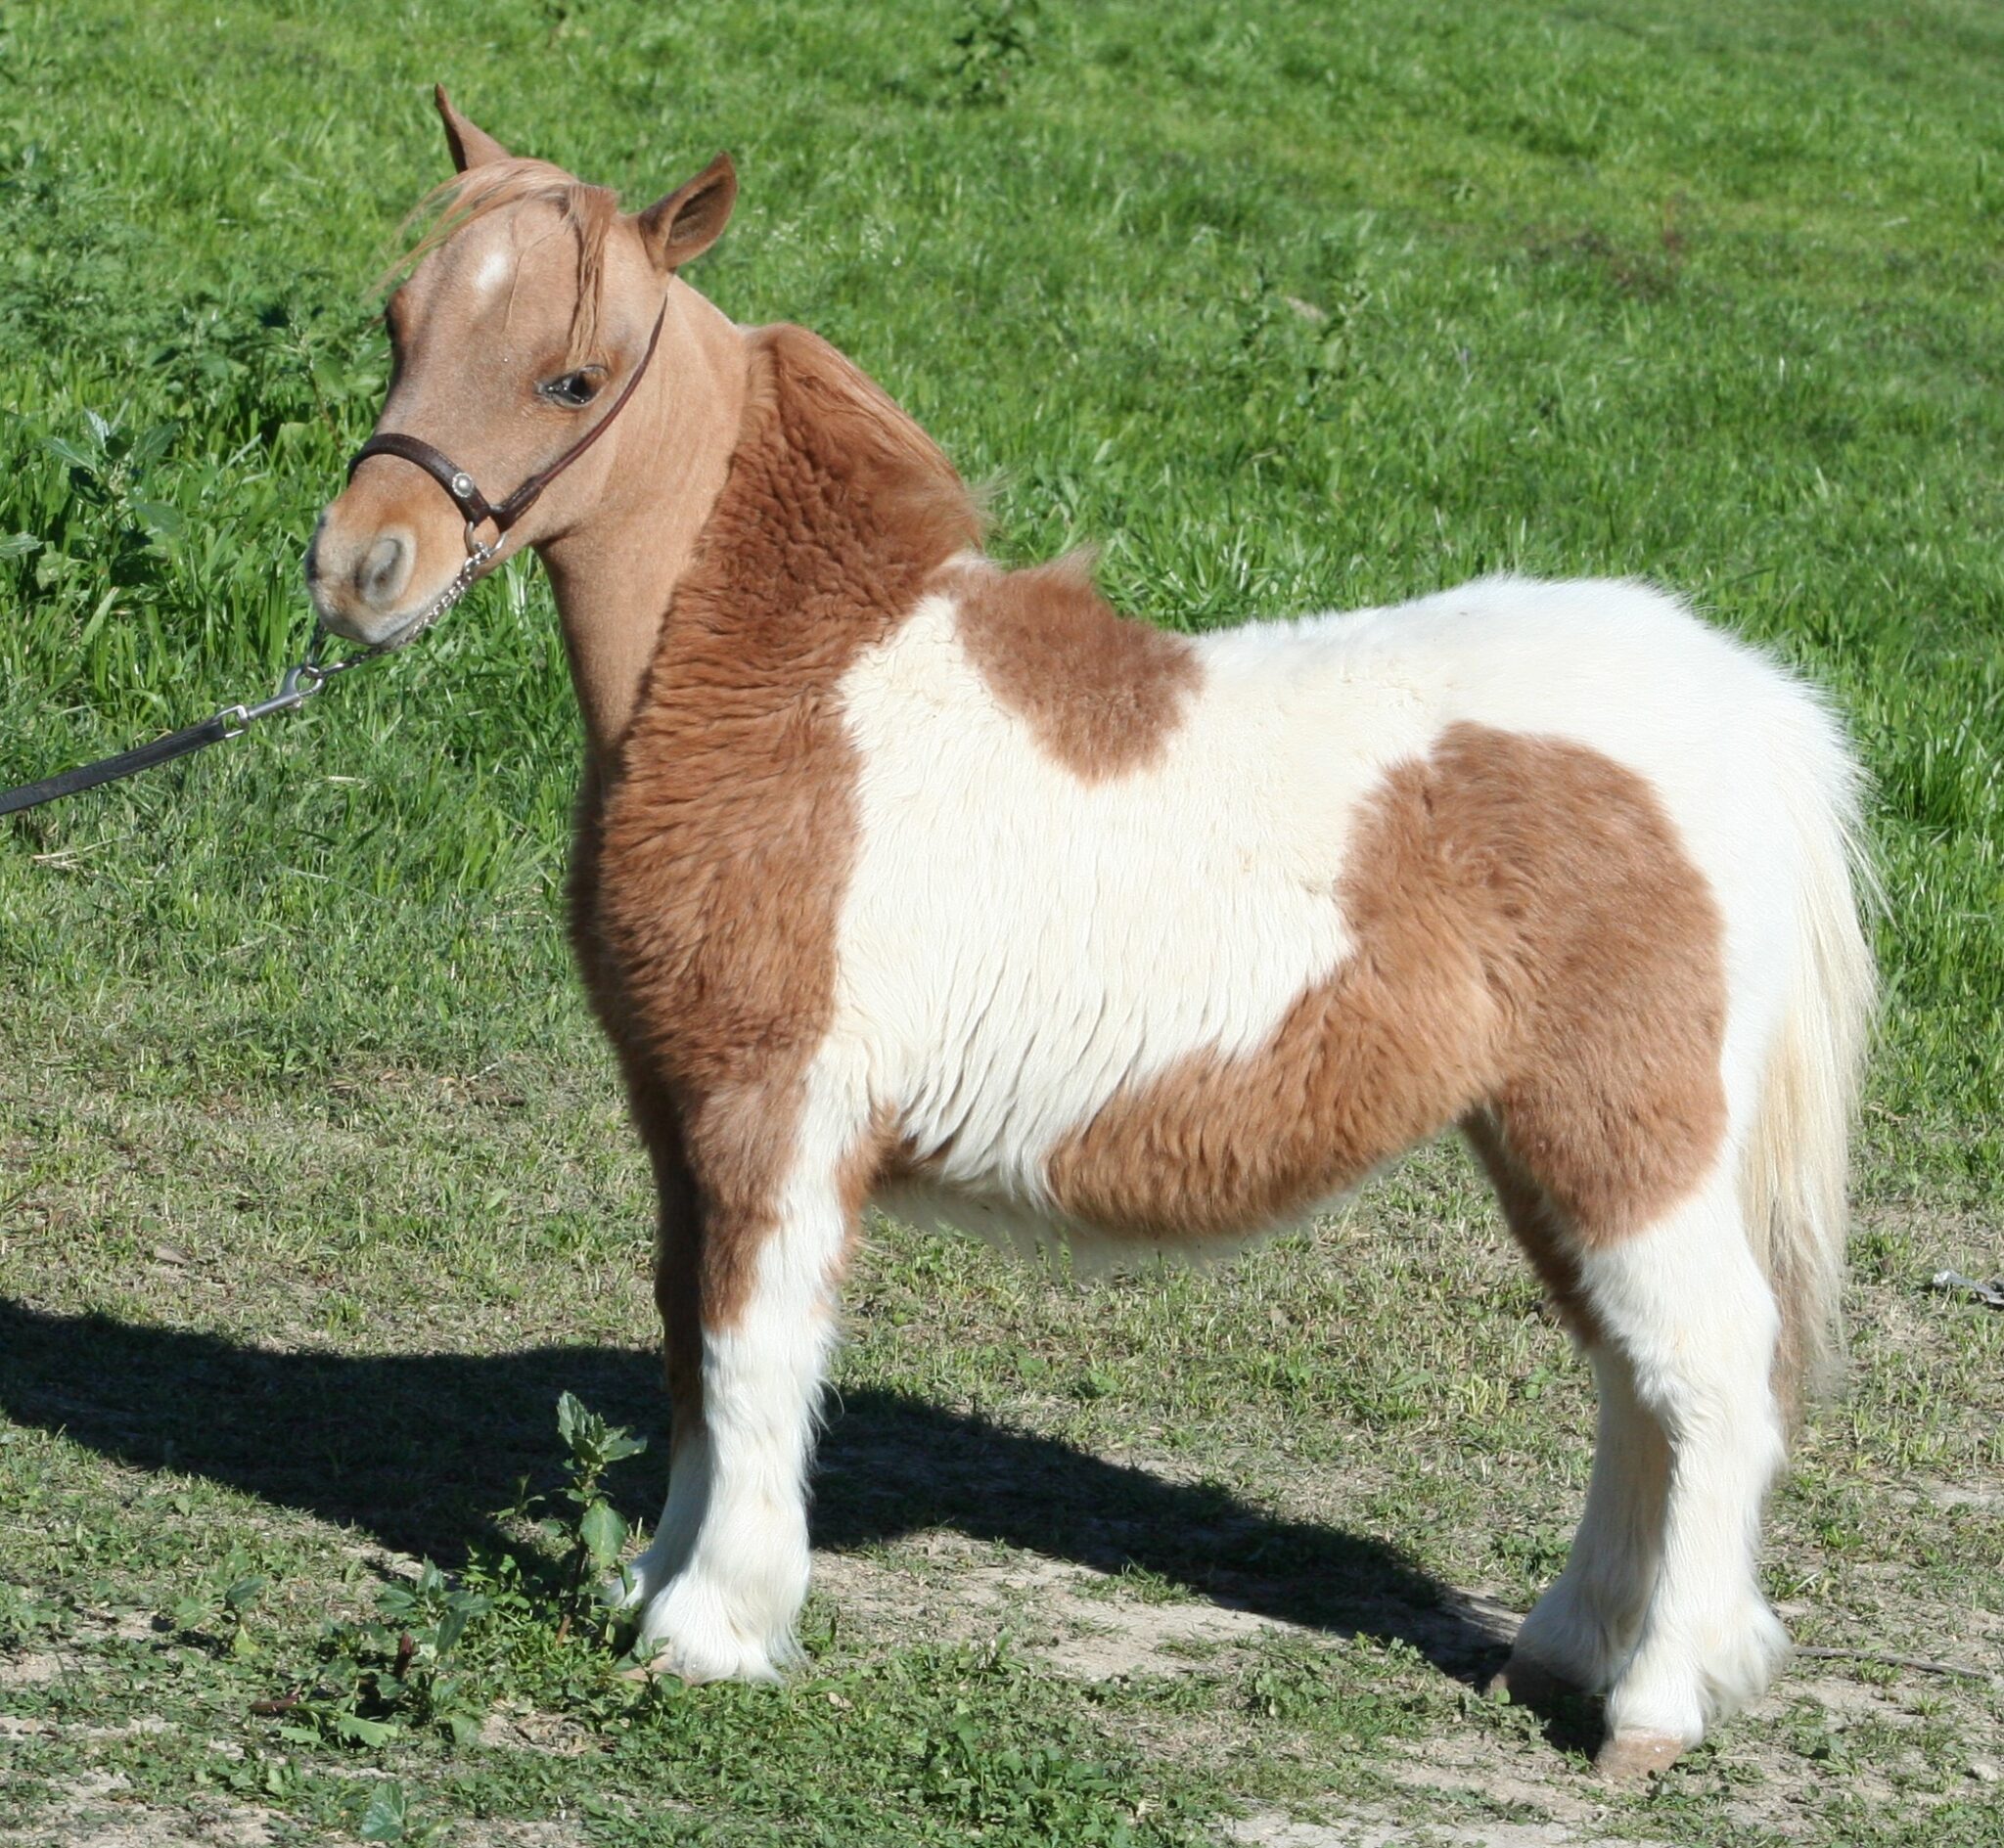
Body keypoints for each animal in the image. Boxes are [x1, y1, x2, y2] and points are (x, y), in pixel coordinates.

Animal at [305, 90, 1876, 1779]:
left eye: (574, 377)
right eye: (399, 323)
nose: (360, 569)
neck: (802, 687)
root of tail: (1751, 707)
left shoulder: (776, 1112)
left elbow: (751, 1354)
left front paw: (709, 1630)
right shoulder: (683, 1115)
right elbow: (686, 1344)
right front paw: (657, 1583)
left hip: (1628, 1138)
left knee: (1710, 1374)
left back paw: (1653, 1707)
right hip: (1545, 1146)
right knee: (1637, 1387)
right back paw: (1571, 1650)